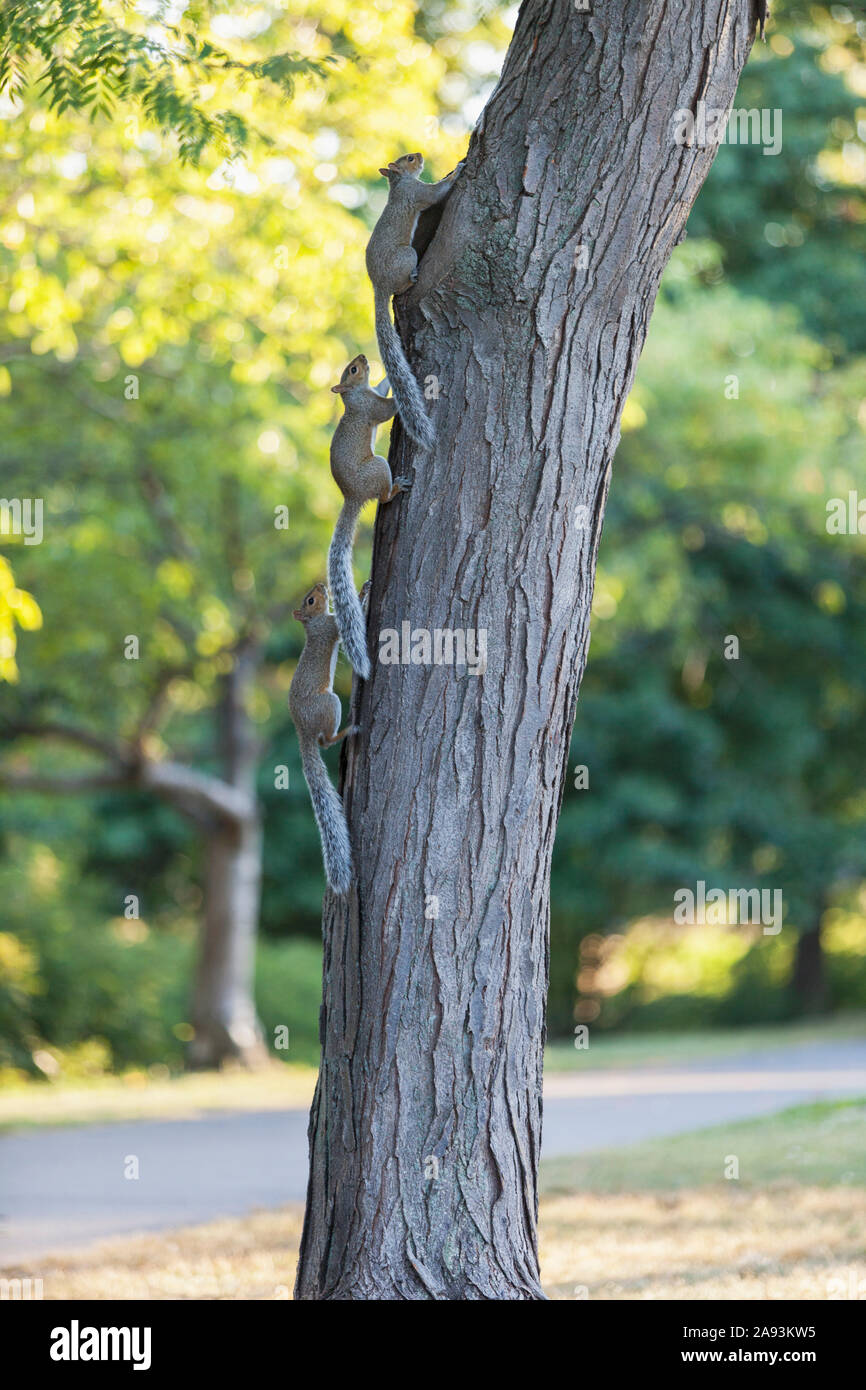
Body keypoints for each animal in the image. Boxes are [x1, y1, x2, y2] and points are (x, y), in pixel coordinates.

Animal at [288, 581, 367, 895]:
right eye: (311, 600)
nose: (322, 585)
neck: (312, 623)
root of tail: (302, 731)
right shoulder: (331, 627)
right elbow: (345, 621)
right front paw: (362, 593)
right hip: (329, 704)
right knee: (325, 741)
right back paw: (349, 730)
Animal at [327, 353, 411, 680]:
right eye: (352, 370)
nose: (363, 357)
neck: (354, 394)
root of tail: (353, 496)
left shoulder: (371, 392)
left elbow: (383, 387)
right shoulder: (369, 407)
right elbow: (386, 409)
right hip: (378, 467)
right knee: (383, 496)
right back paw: (395, 489)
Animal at [365, 152, 463, 453]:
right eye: (409, 158)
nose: (420, 155)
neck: (398, 184)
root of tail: (379, 287)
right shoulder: (416, 193)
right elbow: (435, 194)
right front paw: (457, 171)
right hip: (407, 256)